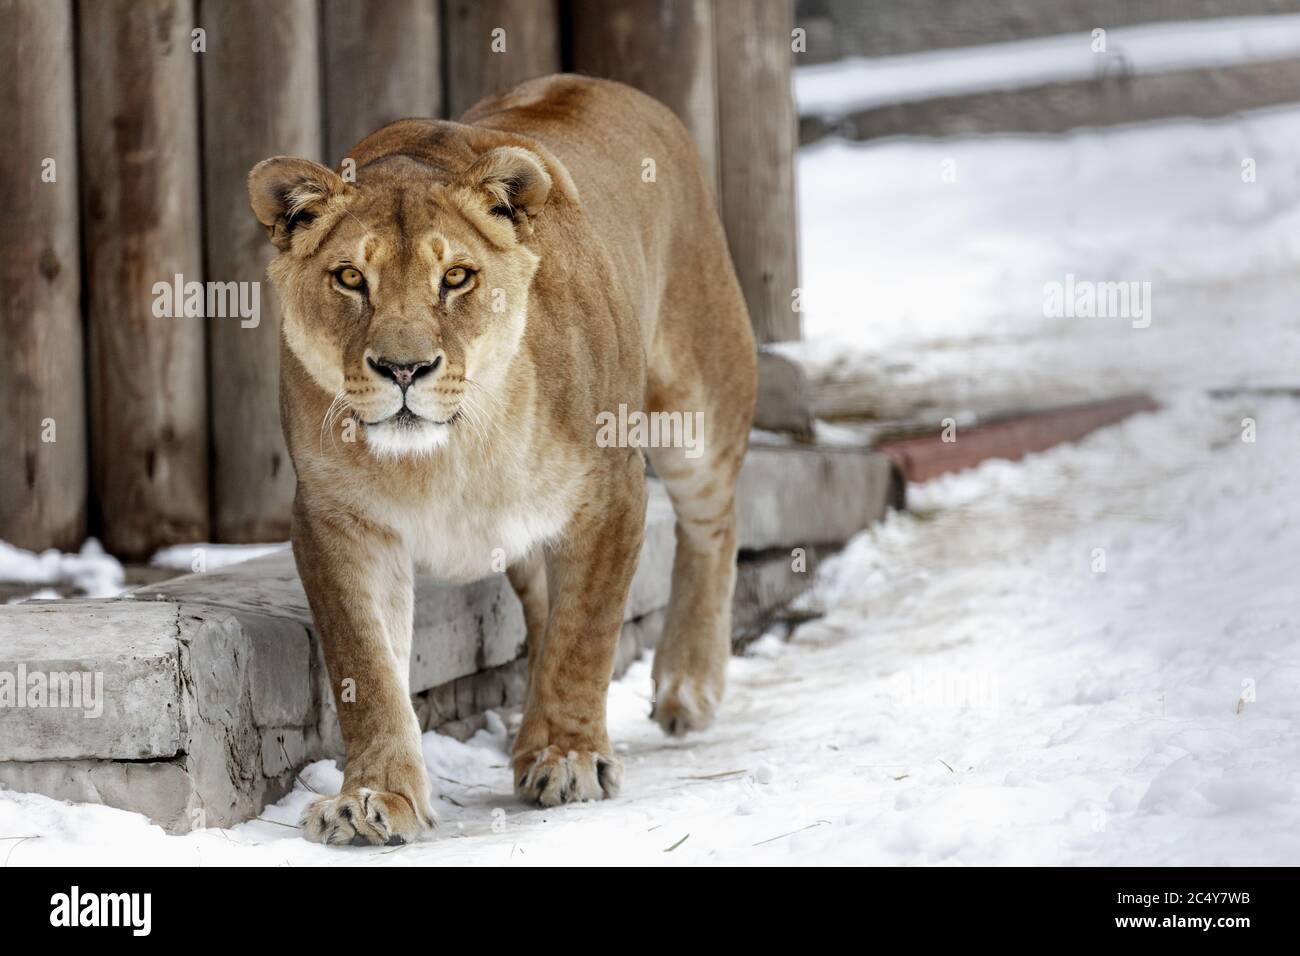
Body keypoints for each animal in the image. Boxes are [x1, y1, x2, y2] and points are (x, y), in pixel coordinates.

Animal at [247, 74, 757, 846]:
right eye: (350, 278)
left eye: (457, 277)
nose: (404, 369)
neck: (451, 451)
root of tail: (611, 86)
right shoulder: (339, 521)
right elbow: (367, 667)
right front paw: (374, 796)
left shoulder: (611, 494)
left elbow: (587, 635)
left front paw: (569, 757)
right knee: (546, 601)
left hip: (698, 399)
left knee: (714, 523)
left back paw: (687, 685)